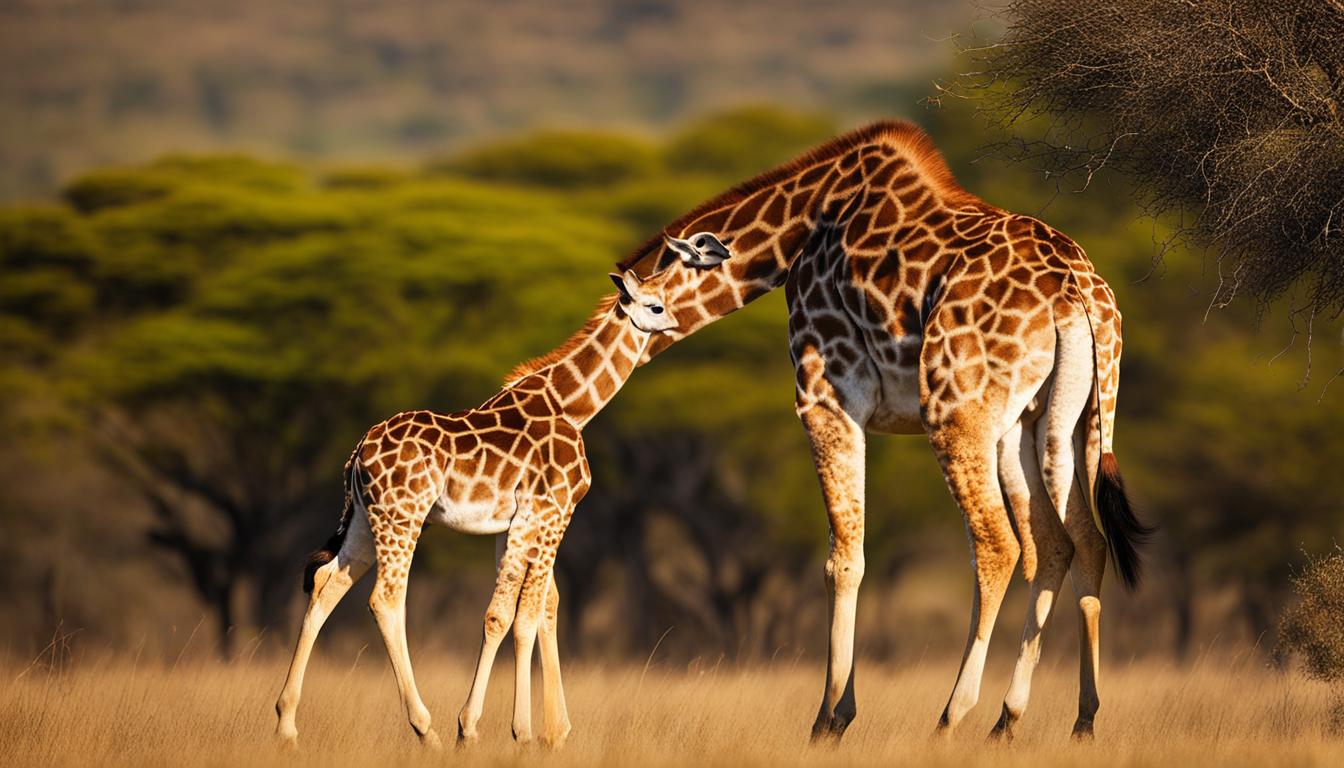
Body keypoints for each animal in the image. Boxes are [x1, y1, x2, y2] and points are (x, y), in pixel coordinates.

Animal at [274, 267, 684, 749]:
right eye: (656, 305)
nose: (675, 325)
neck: (573, 406)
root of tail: (357, 452)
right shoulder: (550, 511)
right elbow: (512, 614)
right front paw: (496, 731)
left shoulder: (512, 524)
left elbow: (527, 610)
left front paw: (528, 730)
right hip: (403, 516)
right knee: (386, 599)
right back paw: (426, 729)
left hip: (365, 519)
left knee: (326, 585)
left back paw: (286, 724)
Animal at [611, 120, 1149, 739]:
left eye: (641, 305)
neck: (798, 232)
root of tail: (1077, 292)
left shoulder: (826, 395)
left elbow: (843, 559)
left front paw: (829, 718)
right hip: (1056, 420)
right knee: (1073, 540)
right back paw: (1049, 717)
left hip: (958, 414)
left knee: (999, 544)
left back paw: (952, 715)